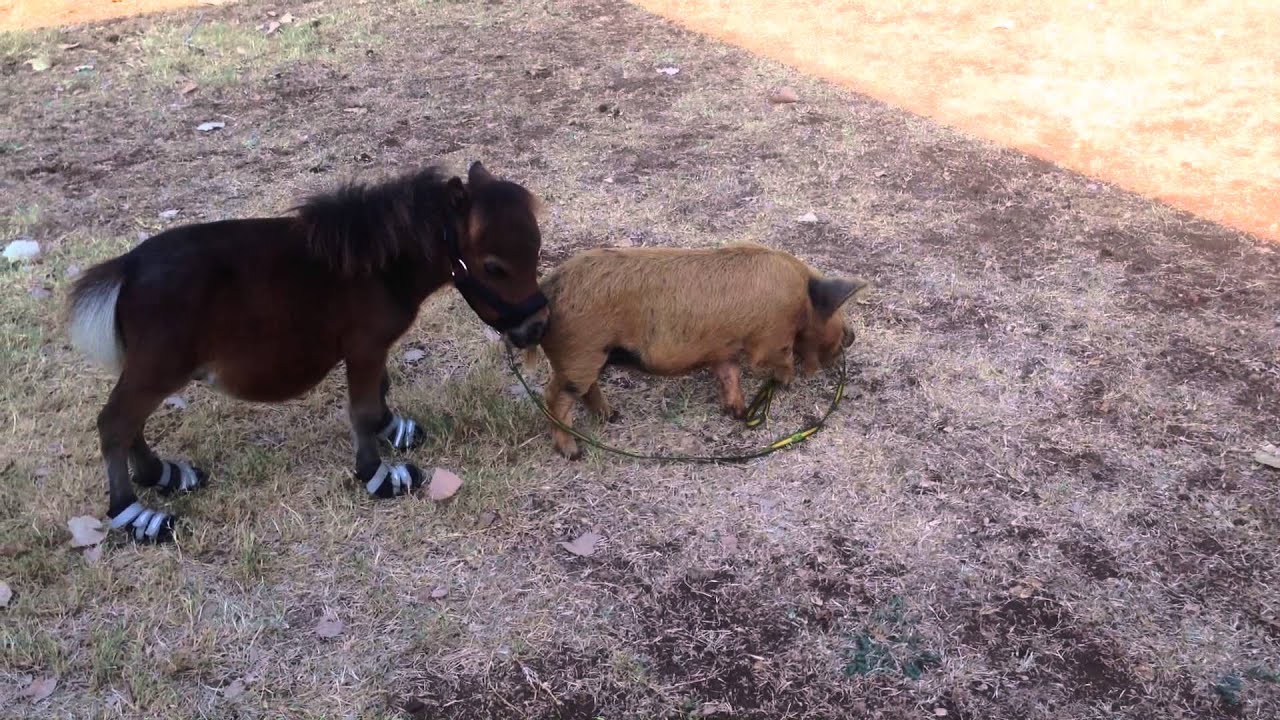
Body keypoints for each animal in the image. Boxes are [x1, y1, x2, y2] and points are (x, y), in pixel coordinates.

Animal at [67, 162, 549, 543]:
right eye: (494, 267)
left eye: (537, 250)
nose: (537, 327)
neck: (380, 267)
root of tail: (126, 268)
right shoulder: (364, 346)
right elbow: (362, 411)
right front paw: (378, 475)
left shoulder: (371, 350)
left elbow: (380, 392)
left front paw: (394, 429)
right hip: (158, 368)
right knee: (114, 423)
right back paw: (134, 513)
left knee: (129, 423)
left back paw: (162, 475)